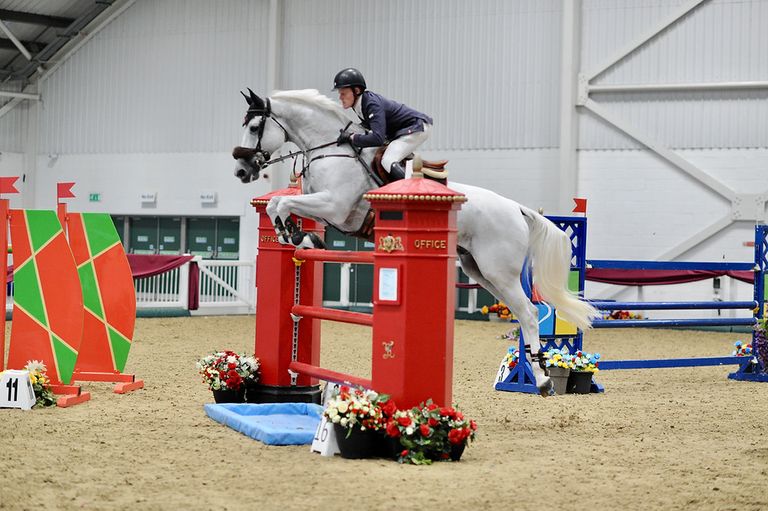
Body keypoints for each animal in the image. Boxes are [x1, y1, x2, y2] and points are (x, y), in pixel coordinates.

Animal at [232, 89, 598, 396]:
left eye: (255, 126)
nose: (241, 171)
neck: (331, 150)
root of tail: (516, 208)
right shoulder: (326, 211)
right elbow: (285, 207)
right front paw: (299, 237)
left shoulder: (334, 206)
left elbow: (282, 203)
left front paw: (289, 233)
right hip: (478, 270)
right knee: (522, 313)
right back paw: (541, 376)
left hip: (500, 271)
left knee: (529, 312)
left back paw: (542, 379)